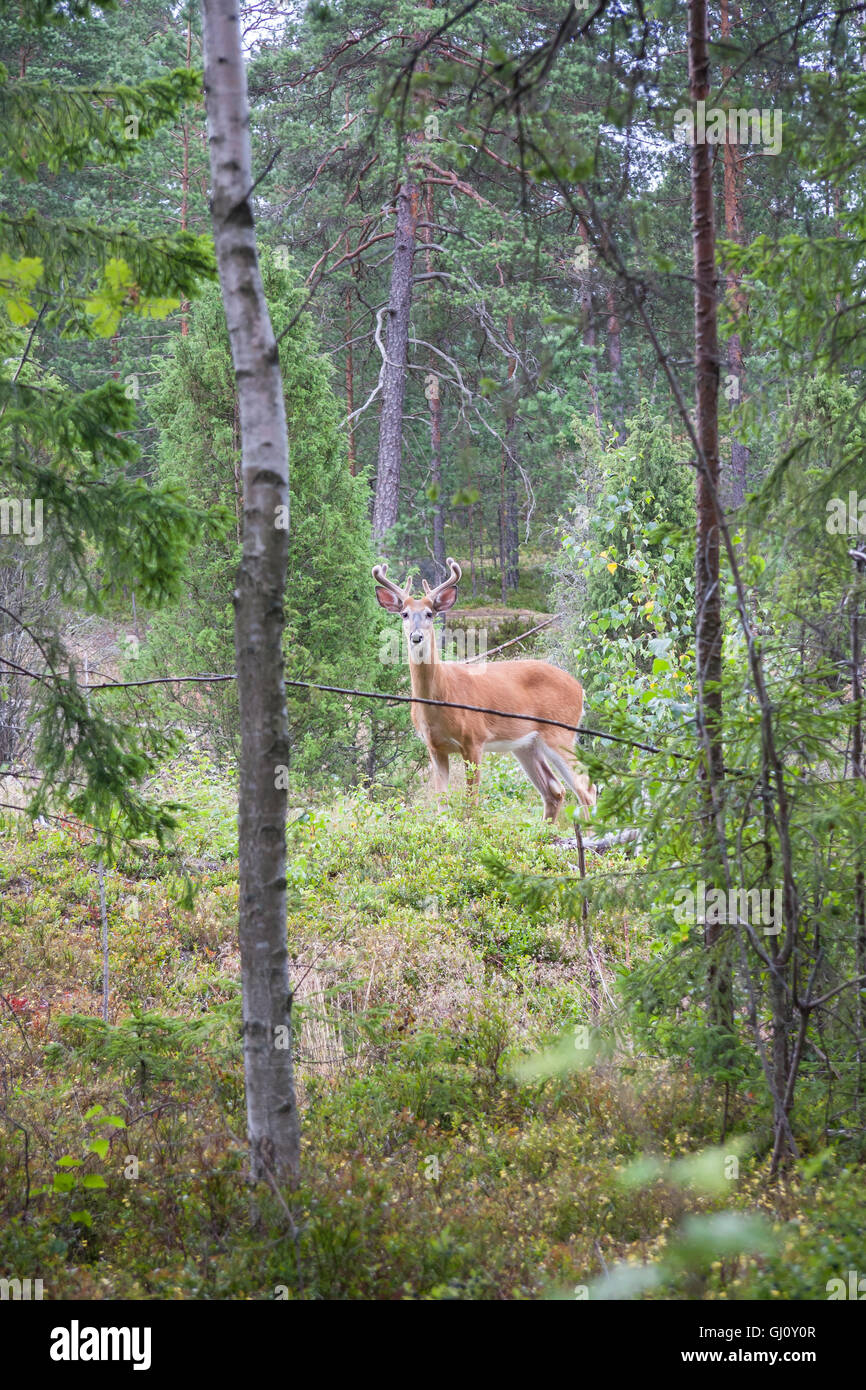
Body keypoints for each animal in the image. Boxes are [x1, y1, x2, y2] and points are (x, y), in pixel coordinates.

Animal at [372, 556, 596, 822]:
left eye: (429, 613)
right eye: (404, 614)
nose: (416, 637)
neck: (440, 699)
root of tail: (579, 689)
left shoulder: (474, 739)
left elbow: (472, 803)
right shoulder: (434, 747)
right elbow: (441, 804)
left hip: (560, 732)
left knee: (586, 789)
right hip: (527, 744)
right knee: (555, 790)